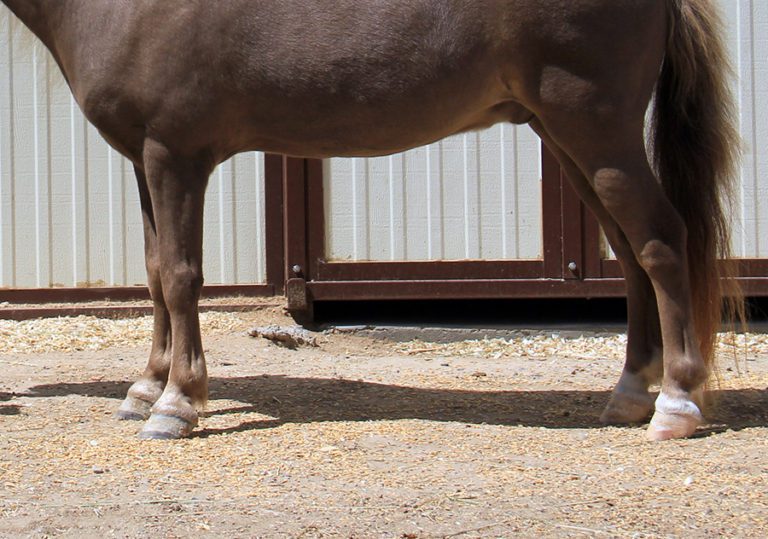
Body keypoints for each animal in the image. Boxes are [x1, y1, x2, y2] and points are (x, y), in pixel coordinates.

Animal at [1, 0, 741, 441]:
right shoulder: (144, 160)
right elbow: (156, 276)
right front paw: (144, 388)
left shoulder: (173, 154)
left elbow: (182, 279)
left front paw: (176, 405)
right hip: (565, 136)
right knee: (630, 252)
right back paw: (629, 395)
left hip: (595, 128)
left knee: (662, 244)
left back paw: (676, 404)